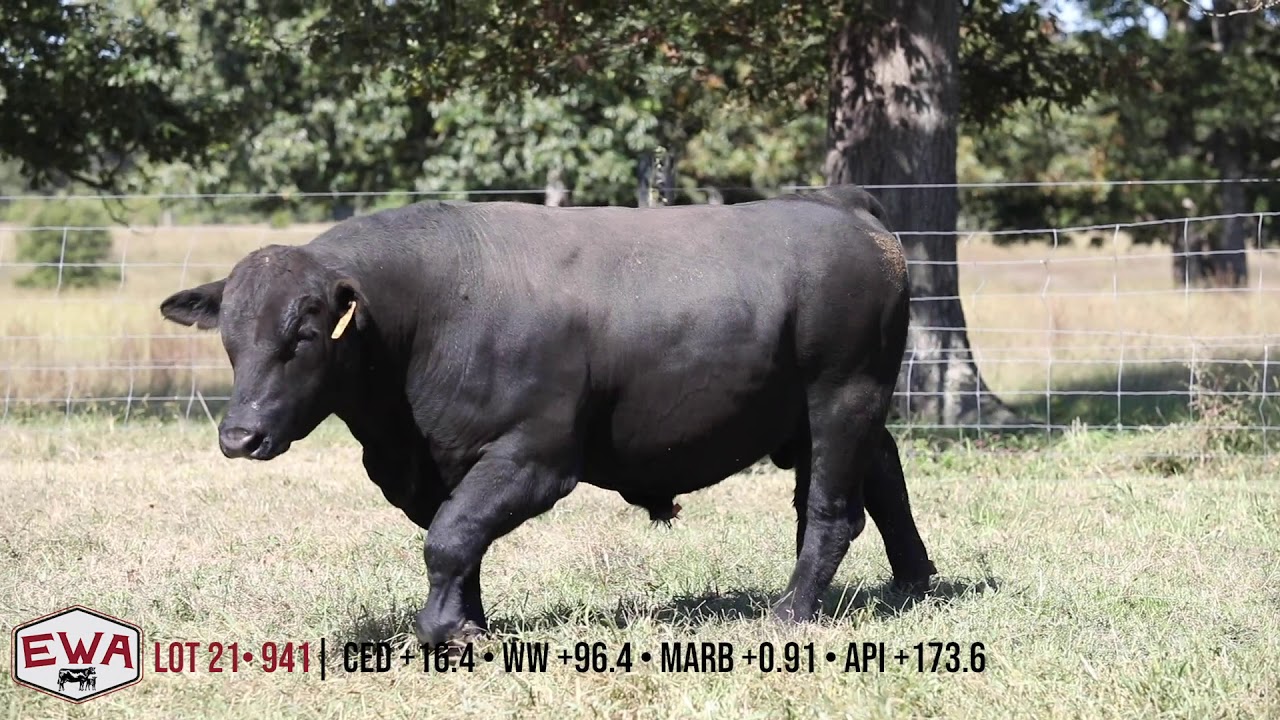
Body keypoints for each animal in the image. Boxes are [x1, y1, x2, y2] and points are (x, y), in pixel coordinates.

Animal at [159, 185, 938, 647]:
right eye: (231, 336)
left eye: (304, 333)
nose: (240, 435)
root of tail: (839, 206)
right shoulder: (440, 469)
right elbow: (460, 541)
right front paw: (468, 621)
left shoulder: (534, 455)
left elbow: (449, 538)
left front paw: (443, 630)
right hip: (817, 413)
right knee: (885, 476)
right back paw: (912, 580)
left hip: (841, 395)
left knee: (832, 510)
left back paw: (791, 611)